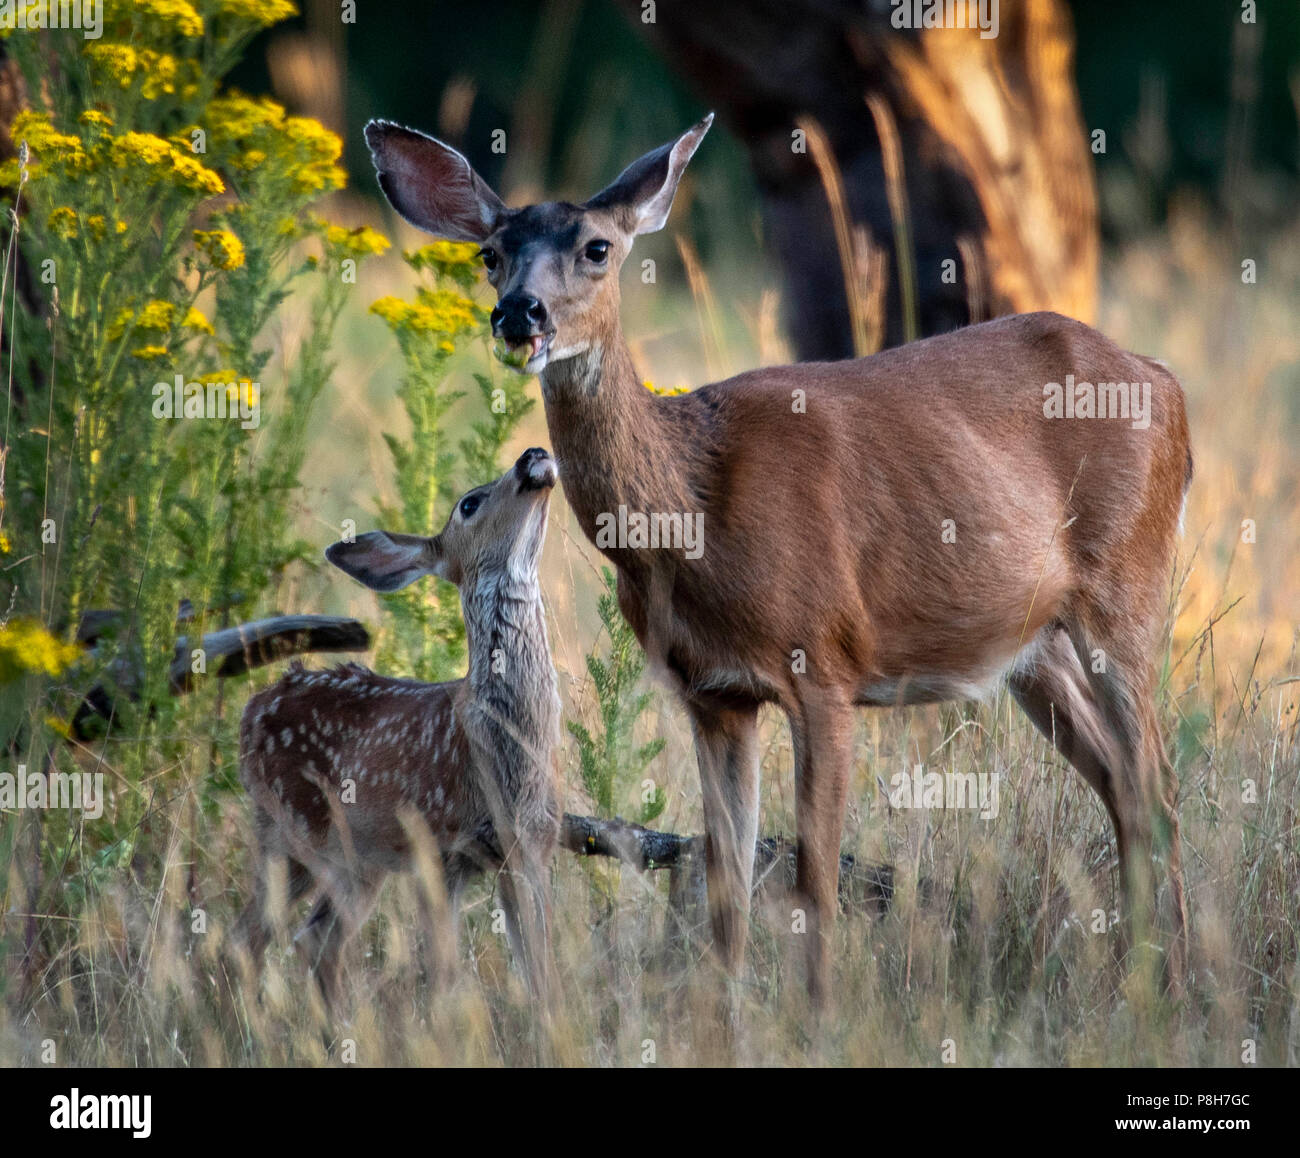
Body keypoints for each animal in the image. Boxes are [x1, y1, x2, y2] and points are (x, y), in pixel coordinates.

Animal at [235, 448, 562, 1009]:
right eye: (469, 503)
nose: (533, 455)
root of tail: (250, 710)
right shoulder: (437, 844)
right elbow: (444, 971)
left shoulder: (528, 844)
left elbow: (538, 966)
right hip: (309, 832)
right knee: (267, 936)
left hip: (333, 853)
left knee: (296, 938)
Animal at [364, 114, 1192, 1006]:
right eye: (490, 253)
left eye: (596, 247)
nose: (521, 312)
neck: (693, 511)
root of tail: (1164, 381)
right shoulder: (713, 693)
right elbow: (725, 884)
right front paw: (729, 1015)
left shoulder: (826, 662)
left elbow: (815, 880)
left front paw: (819, 1013)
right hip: (1033, 649)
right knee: (1123, 785)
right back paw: (1138, 975)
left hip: (1127, 585)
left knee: (1158, 781)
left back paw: (1174, 983)